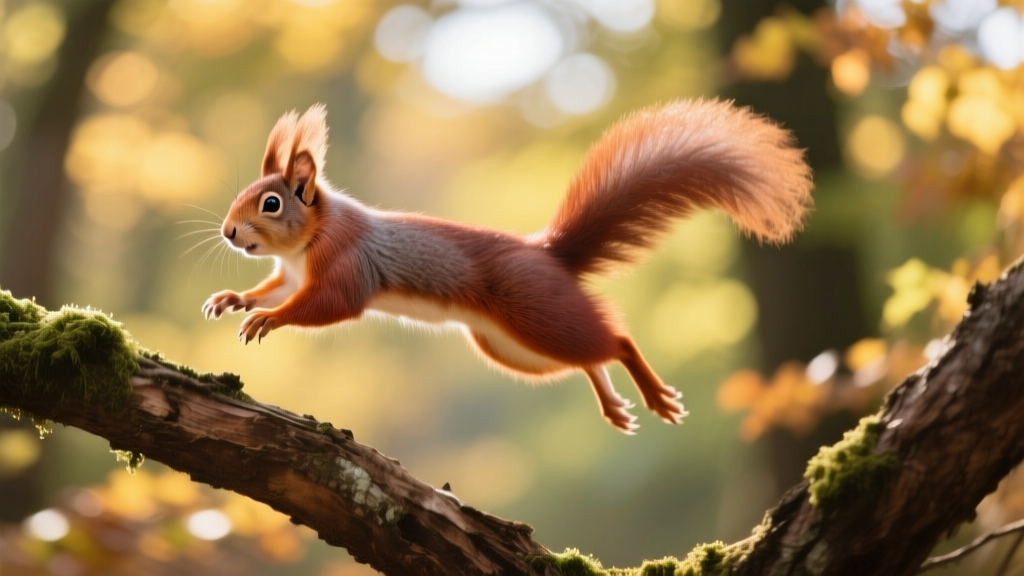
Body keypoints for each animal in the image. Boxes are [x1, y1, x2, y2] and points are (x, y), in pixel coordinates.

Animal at [202, 100, 812, 433]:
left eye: (271, 203)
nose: (229, 232)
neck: (307, 242)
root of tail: (548, 255)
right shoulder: (290, 273)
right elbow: (270, 287)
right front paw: (235, 299)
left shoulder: (347, 264)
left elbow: (327, 305)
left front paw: (269, 320)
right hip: (511, 346)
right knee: (587, 357)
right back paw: (612, 403)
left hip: (535, 312)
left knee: (615, 342)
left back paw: (653, 393)